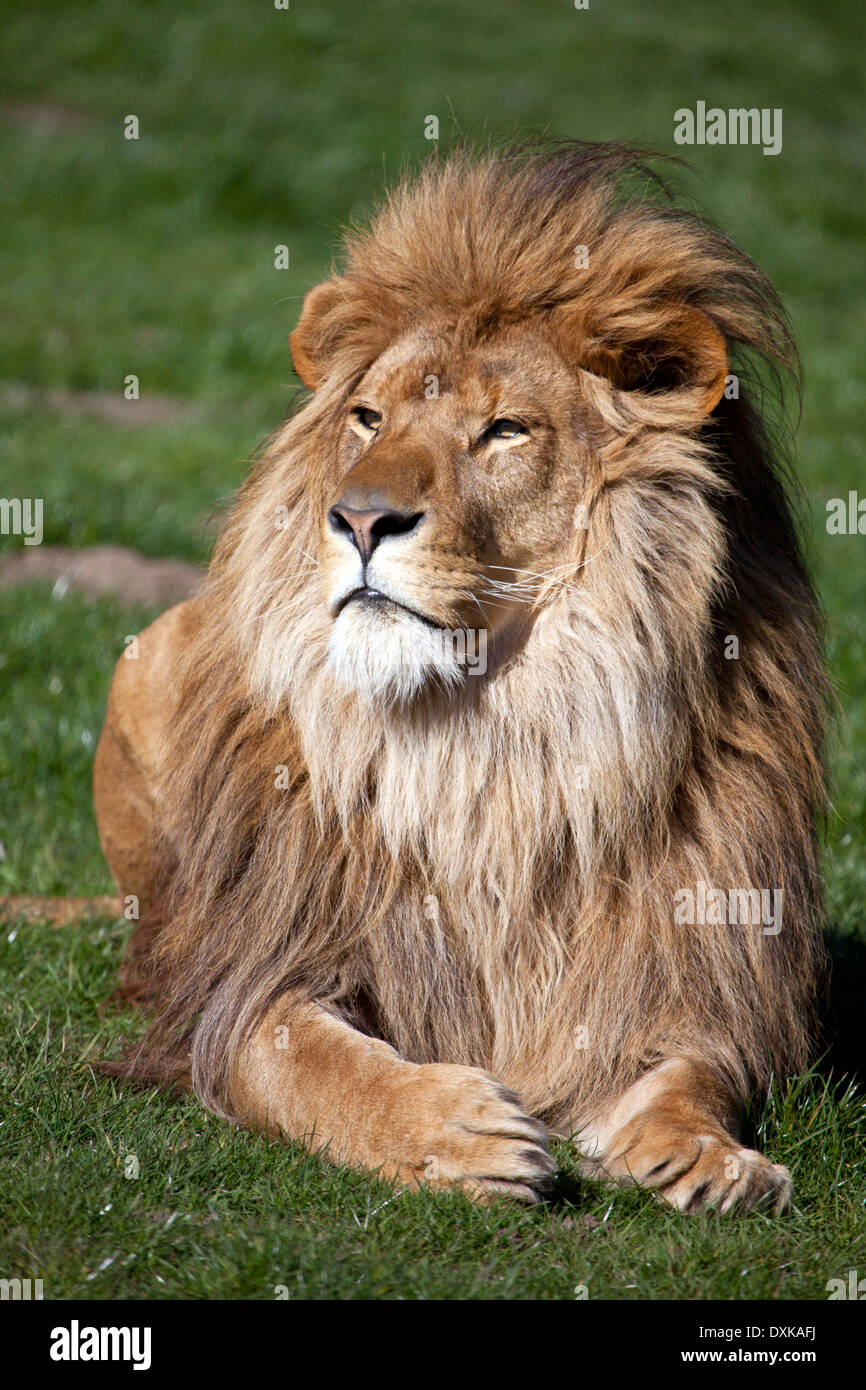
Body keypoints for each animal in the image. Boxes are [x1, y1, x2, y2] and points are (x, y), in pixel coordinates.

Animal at [94, 142, 827, 1214]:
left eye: (506, 431)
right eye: (367, 418)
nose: (359, 518)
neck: (489, 743)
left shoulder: (692, 956)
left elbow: (696, 1067)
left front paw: (708, 1155)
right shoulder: (259, 967)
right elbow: (305, 1055)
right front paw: (456, 1132)